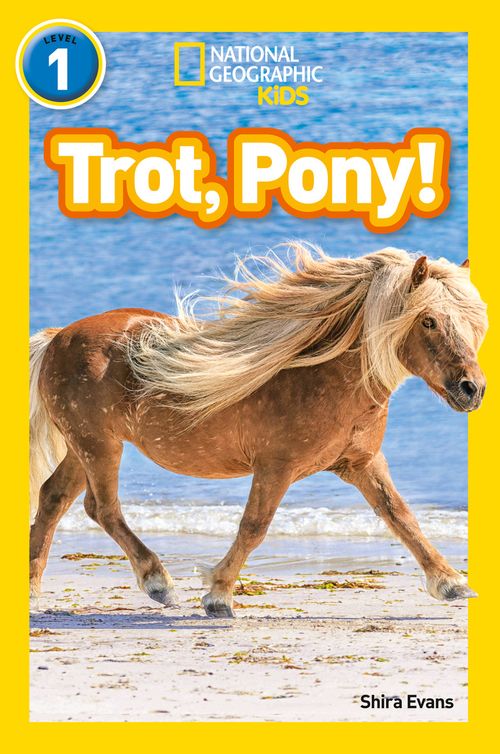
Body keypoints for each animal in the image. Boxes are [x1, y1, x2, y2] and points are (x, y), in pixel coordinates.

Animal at [29, 244, 488, 617]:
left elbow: (402, 517)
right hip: (99, 445)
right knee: (103, 509)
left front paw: (451, 583)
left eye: (473, 323)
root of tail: (59, 337)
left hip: (84, 447)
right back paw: (159, 583)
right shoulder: (275, 468)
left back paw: (32, 589)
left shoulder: (362, 463)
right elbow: (254, 527)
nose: (473, 389)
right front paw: (218, 596)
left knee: (54, 498)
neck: (321, 375)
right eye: (428, 321)